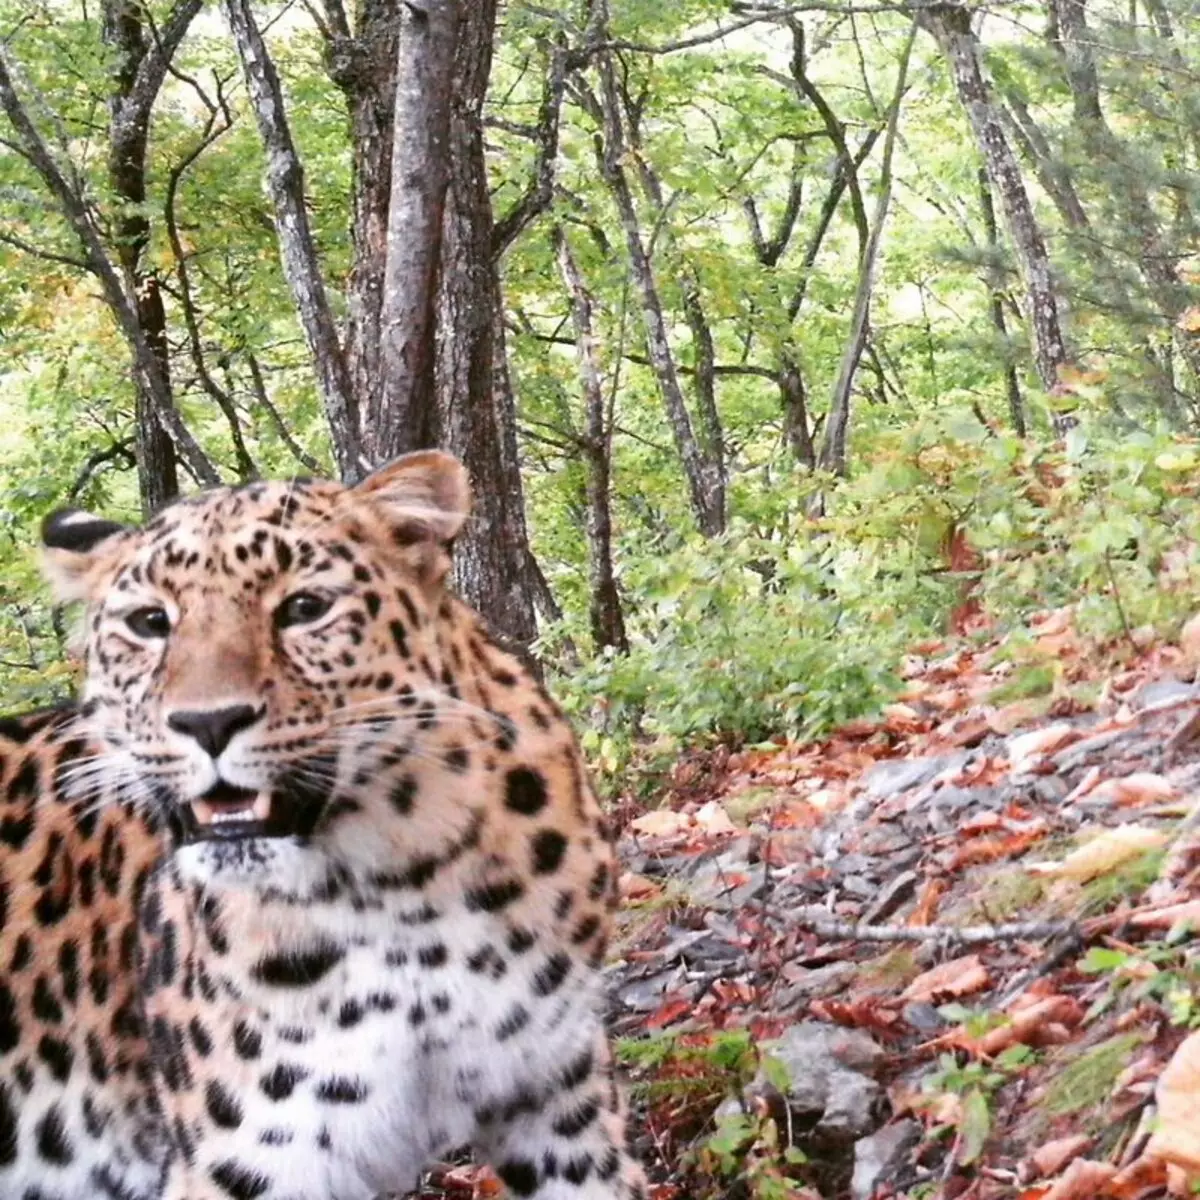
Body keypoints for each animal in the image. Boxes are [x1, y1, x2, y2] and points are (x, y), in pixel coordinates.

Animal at [0, 451, 648, 1200]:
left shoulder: (559, 1100)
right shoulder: (247, 1159)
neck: (401, 893)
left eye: (304, 609)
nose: (207, 722)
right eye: (150, 622)